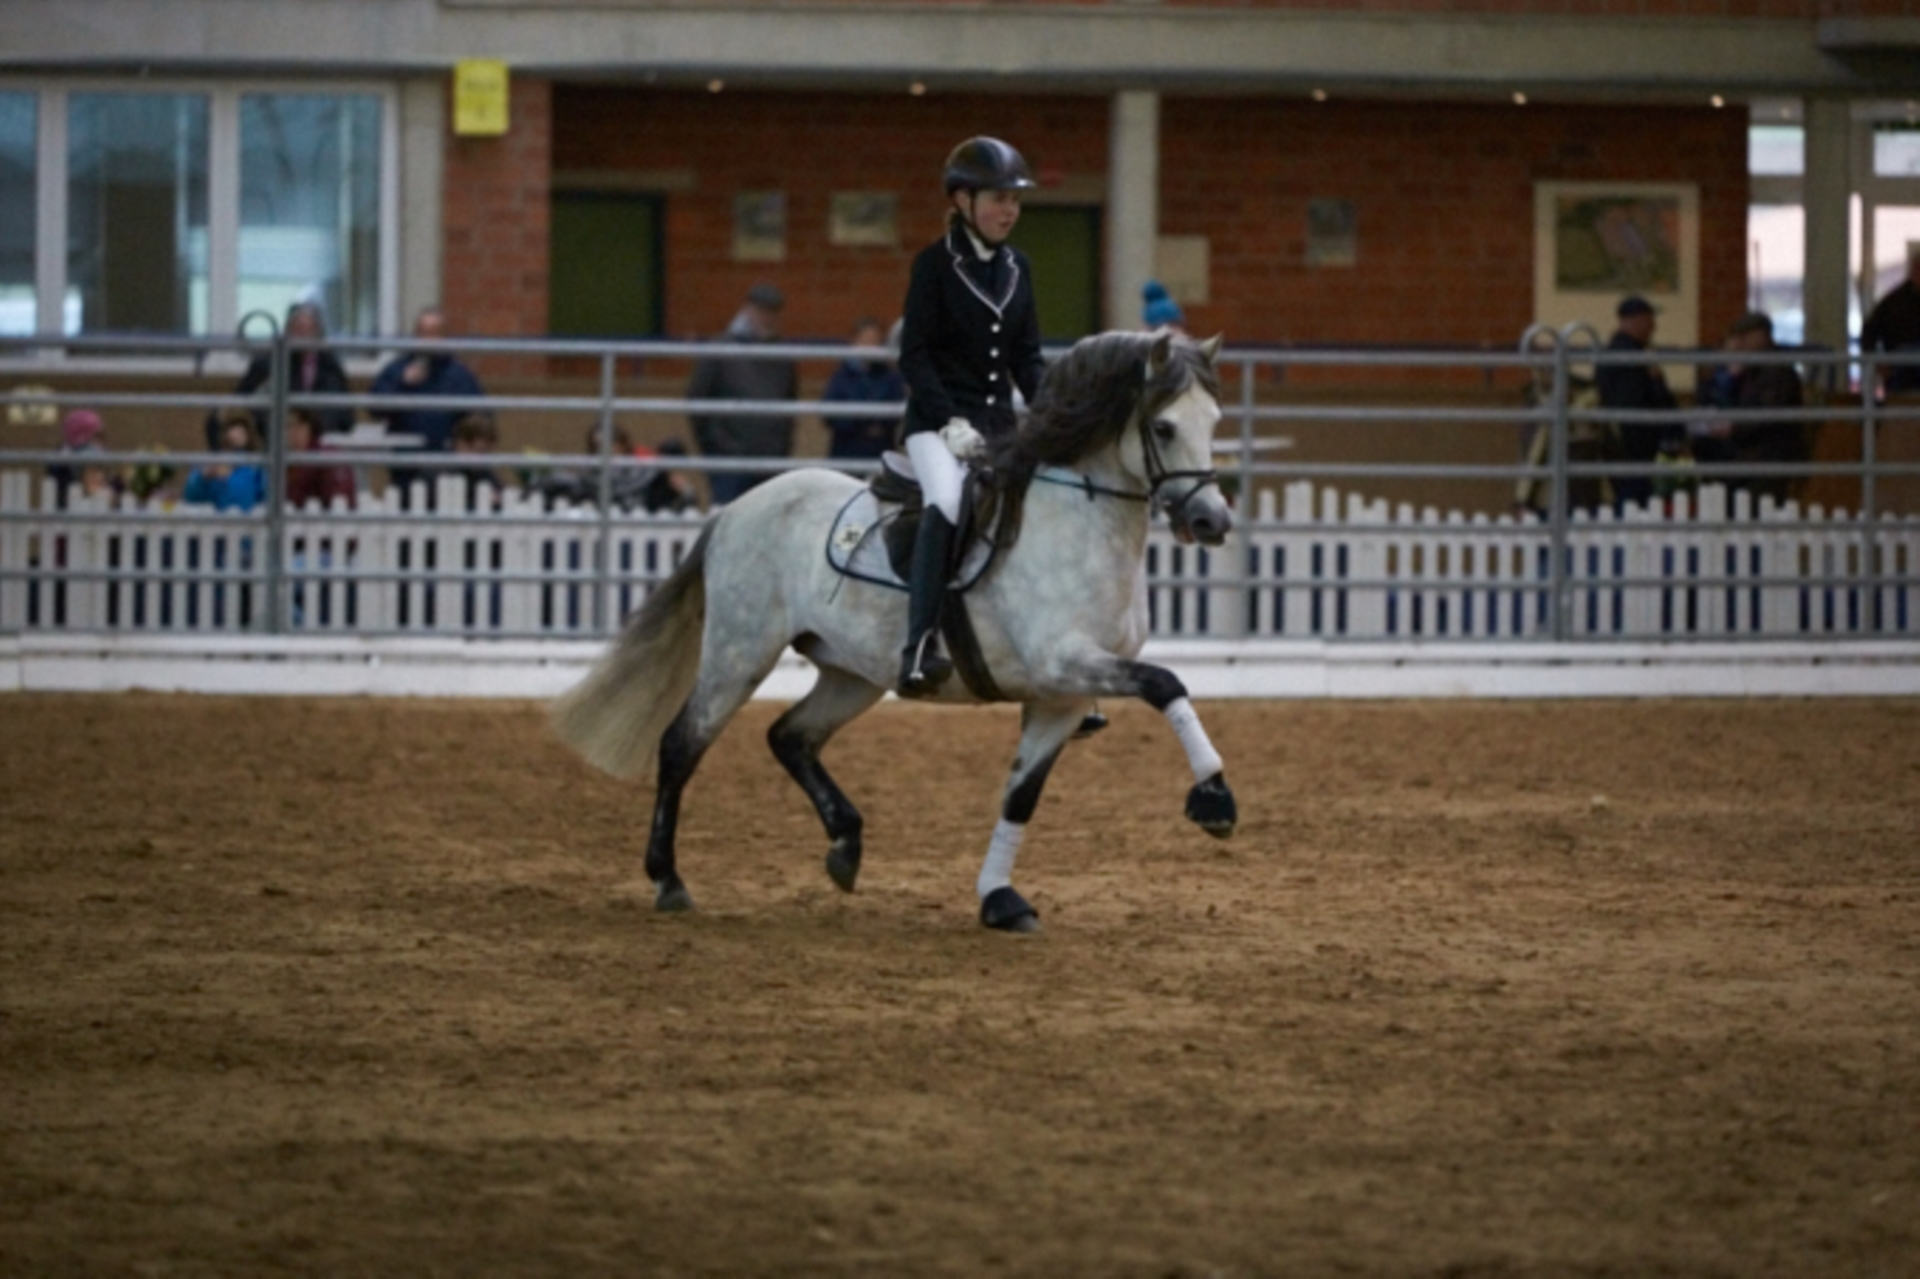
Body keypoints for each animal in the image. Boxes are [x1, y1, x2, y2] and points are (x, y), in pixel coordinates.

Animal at [552, 328, 1239, 932]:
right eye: (1164, 426)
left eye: (1214, 421)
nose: (1213, 522)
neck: (1077, 521)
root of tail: (737, 508)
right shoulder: (1061, 663)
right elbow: (1166, 683)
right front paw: (1214, 798)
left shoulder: (1060, 699)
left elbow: (1019, 797)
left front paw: (1000, 901)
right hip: (738, 653)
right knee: (682, 744)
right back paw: (669, 880)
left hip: (853, 673)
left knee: (791, 737)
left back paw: (845, 846)